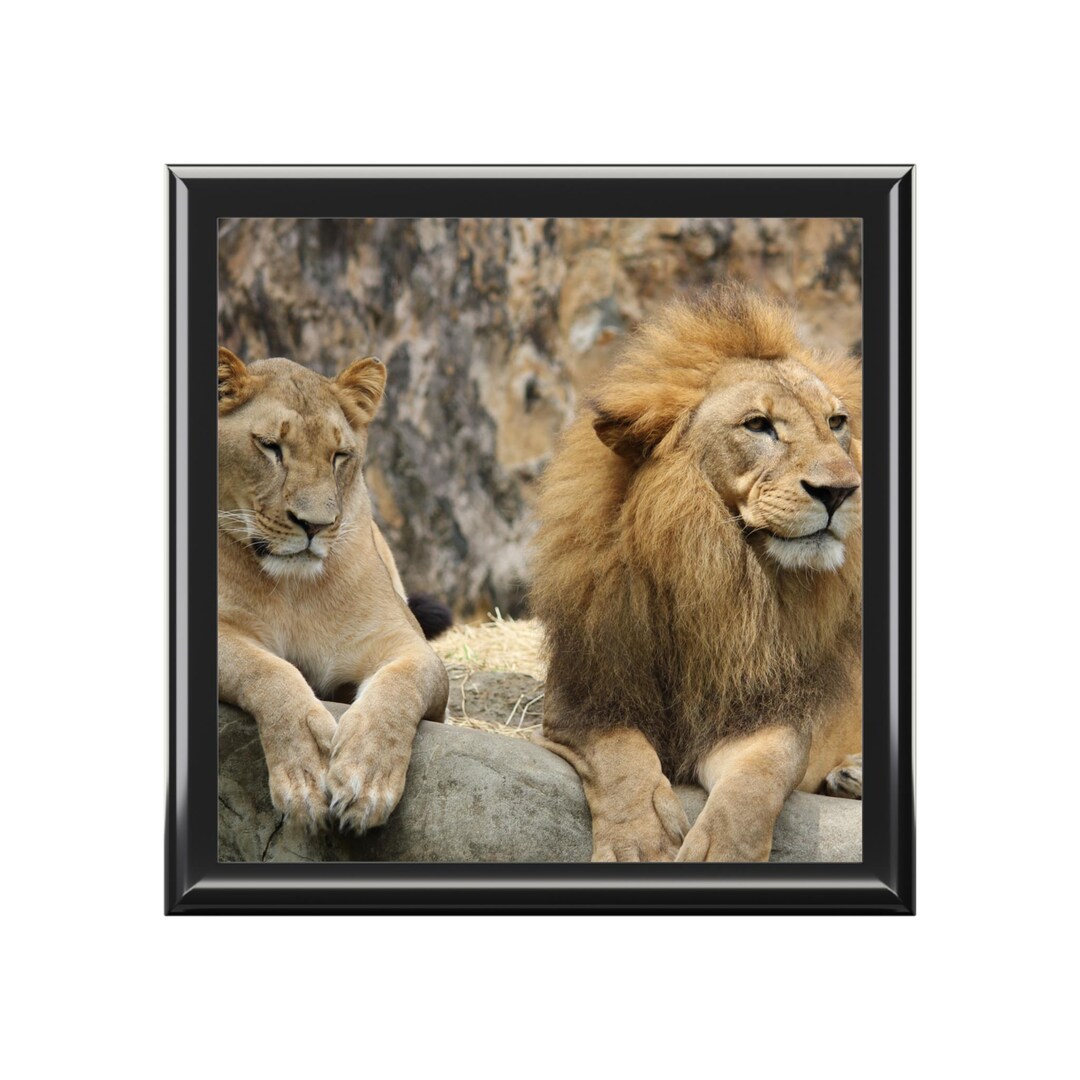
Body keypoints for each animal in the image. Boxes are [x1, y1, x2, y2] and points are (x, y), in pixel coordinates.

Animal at [217, 347, 449, 835]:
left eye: (340, 455)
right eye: (270, 446)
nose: (315, 525)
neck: (294, 590)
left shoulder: (408, 645)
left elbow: (401, 687)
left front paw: (366, 778)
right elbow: (269, 671)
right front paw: (305, 772)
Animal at [531, 283, 862, 862]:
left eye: (836, 423)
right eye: (758, 425)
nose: (841, 492)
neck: (712, 571)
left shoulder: (763, 714)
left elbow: (755, 784)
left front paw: (723, 852)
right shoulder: (583, 700)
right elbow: (621, 756)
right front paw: (637, 843)